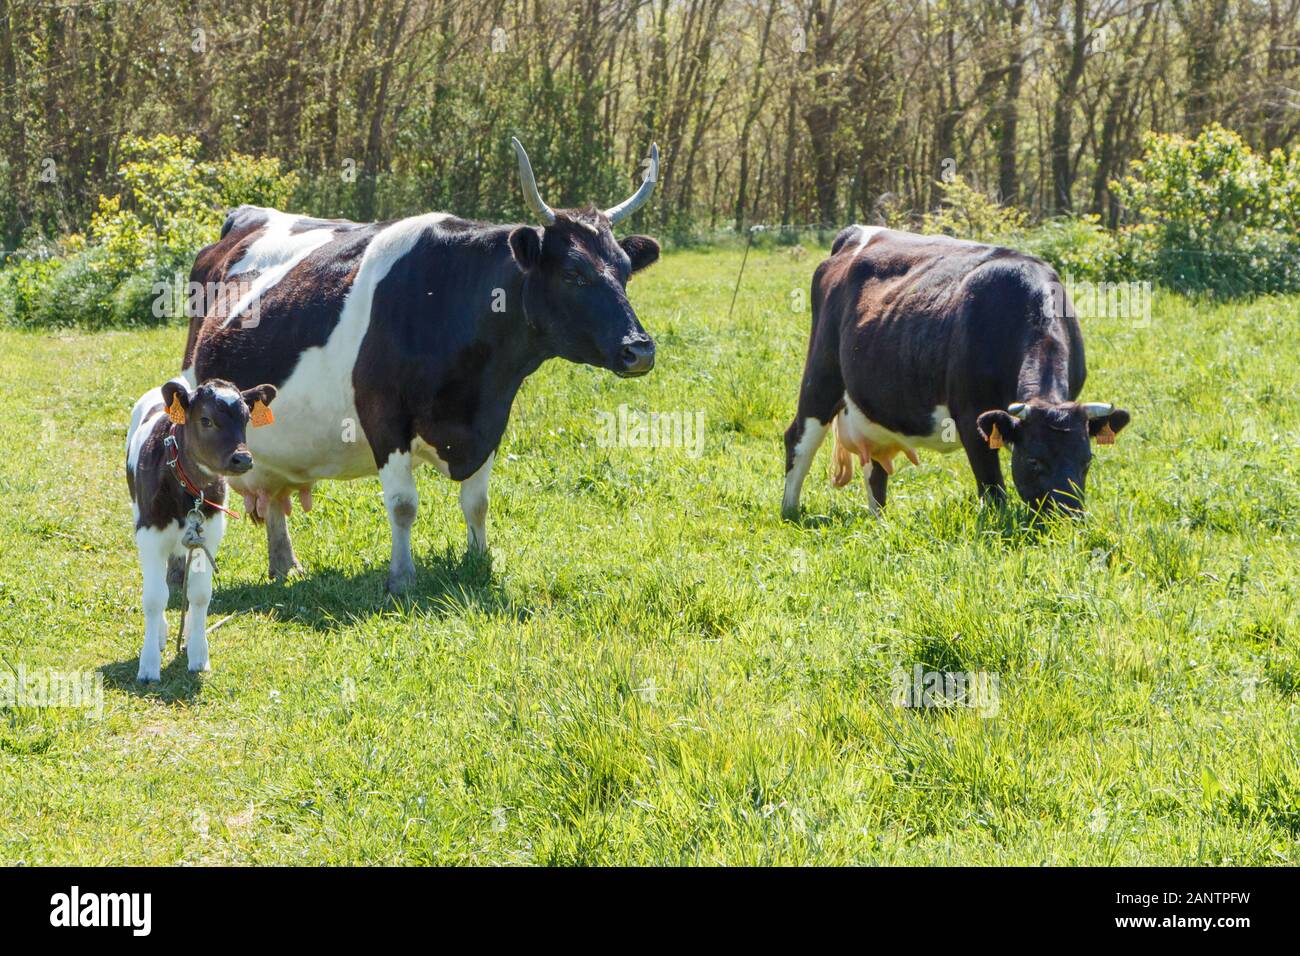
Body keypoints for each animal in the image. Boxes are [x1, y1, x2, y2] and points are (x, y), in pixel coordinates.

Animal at [126, 377, 277, 681]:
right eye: (206, 419)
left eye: (246, 418)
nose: (243, 459)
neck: (187, 487)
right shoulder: (150, 536)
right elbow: (154, 597)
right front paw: (148, 664)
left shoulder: (209, 534)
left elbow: (199, 594)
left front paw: (198, 654)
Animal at [180, 139, 661, 593]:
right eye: (573, 273)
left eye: (624, 272)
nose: (640, 350)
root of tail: (244, 216)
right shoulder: (383, 416)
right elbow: (403, 504)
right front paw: (402, 577)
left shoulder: (490, 419)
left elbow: (477, 502)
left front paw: (479, 560)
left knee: (274, 497)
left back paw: (285, 565)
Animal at [782, 225, 1132, 518]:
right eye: (1034, 460)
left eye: (1087, 460)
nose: (1069, 518)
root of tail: (854, 234)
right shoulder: (970, 417)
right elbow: (993, 489)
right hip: (821, 375)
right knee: (798, 438)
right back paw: (790, 512)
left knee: (875, 466)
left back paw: (880, 521)